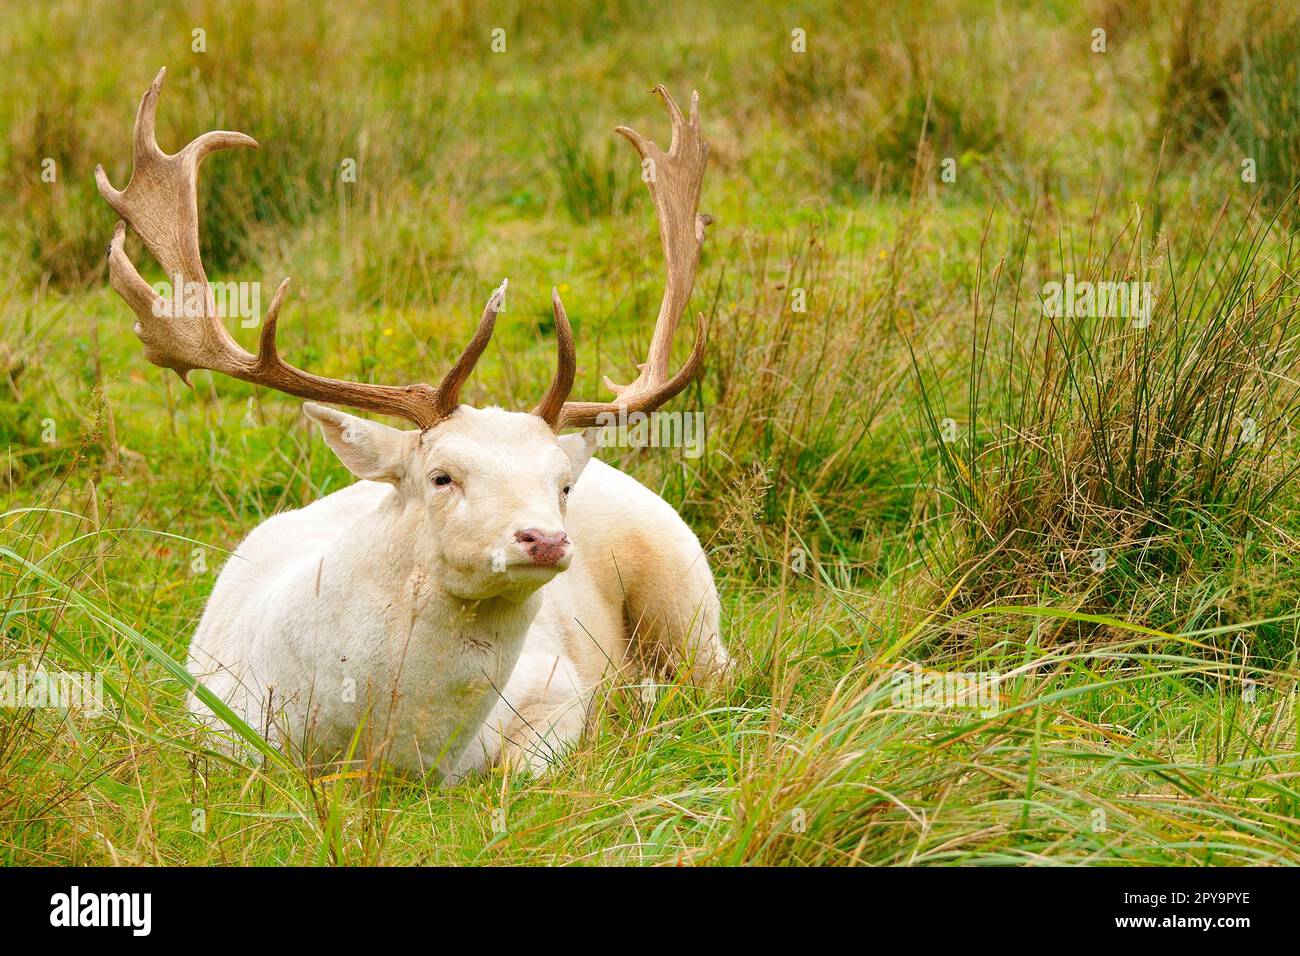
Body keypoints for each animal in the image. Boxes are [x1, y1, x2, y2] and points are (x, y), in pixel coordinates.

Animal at [95, 69, 730, 778]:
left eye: (562, 484)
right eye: (441, 476)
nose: (544, 539)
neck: (379, 745)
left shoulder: (558, 684)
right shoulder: (215, 721)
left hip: (687, 591)